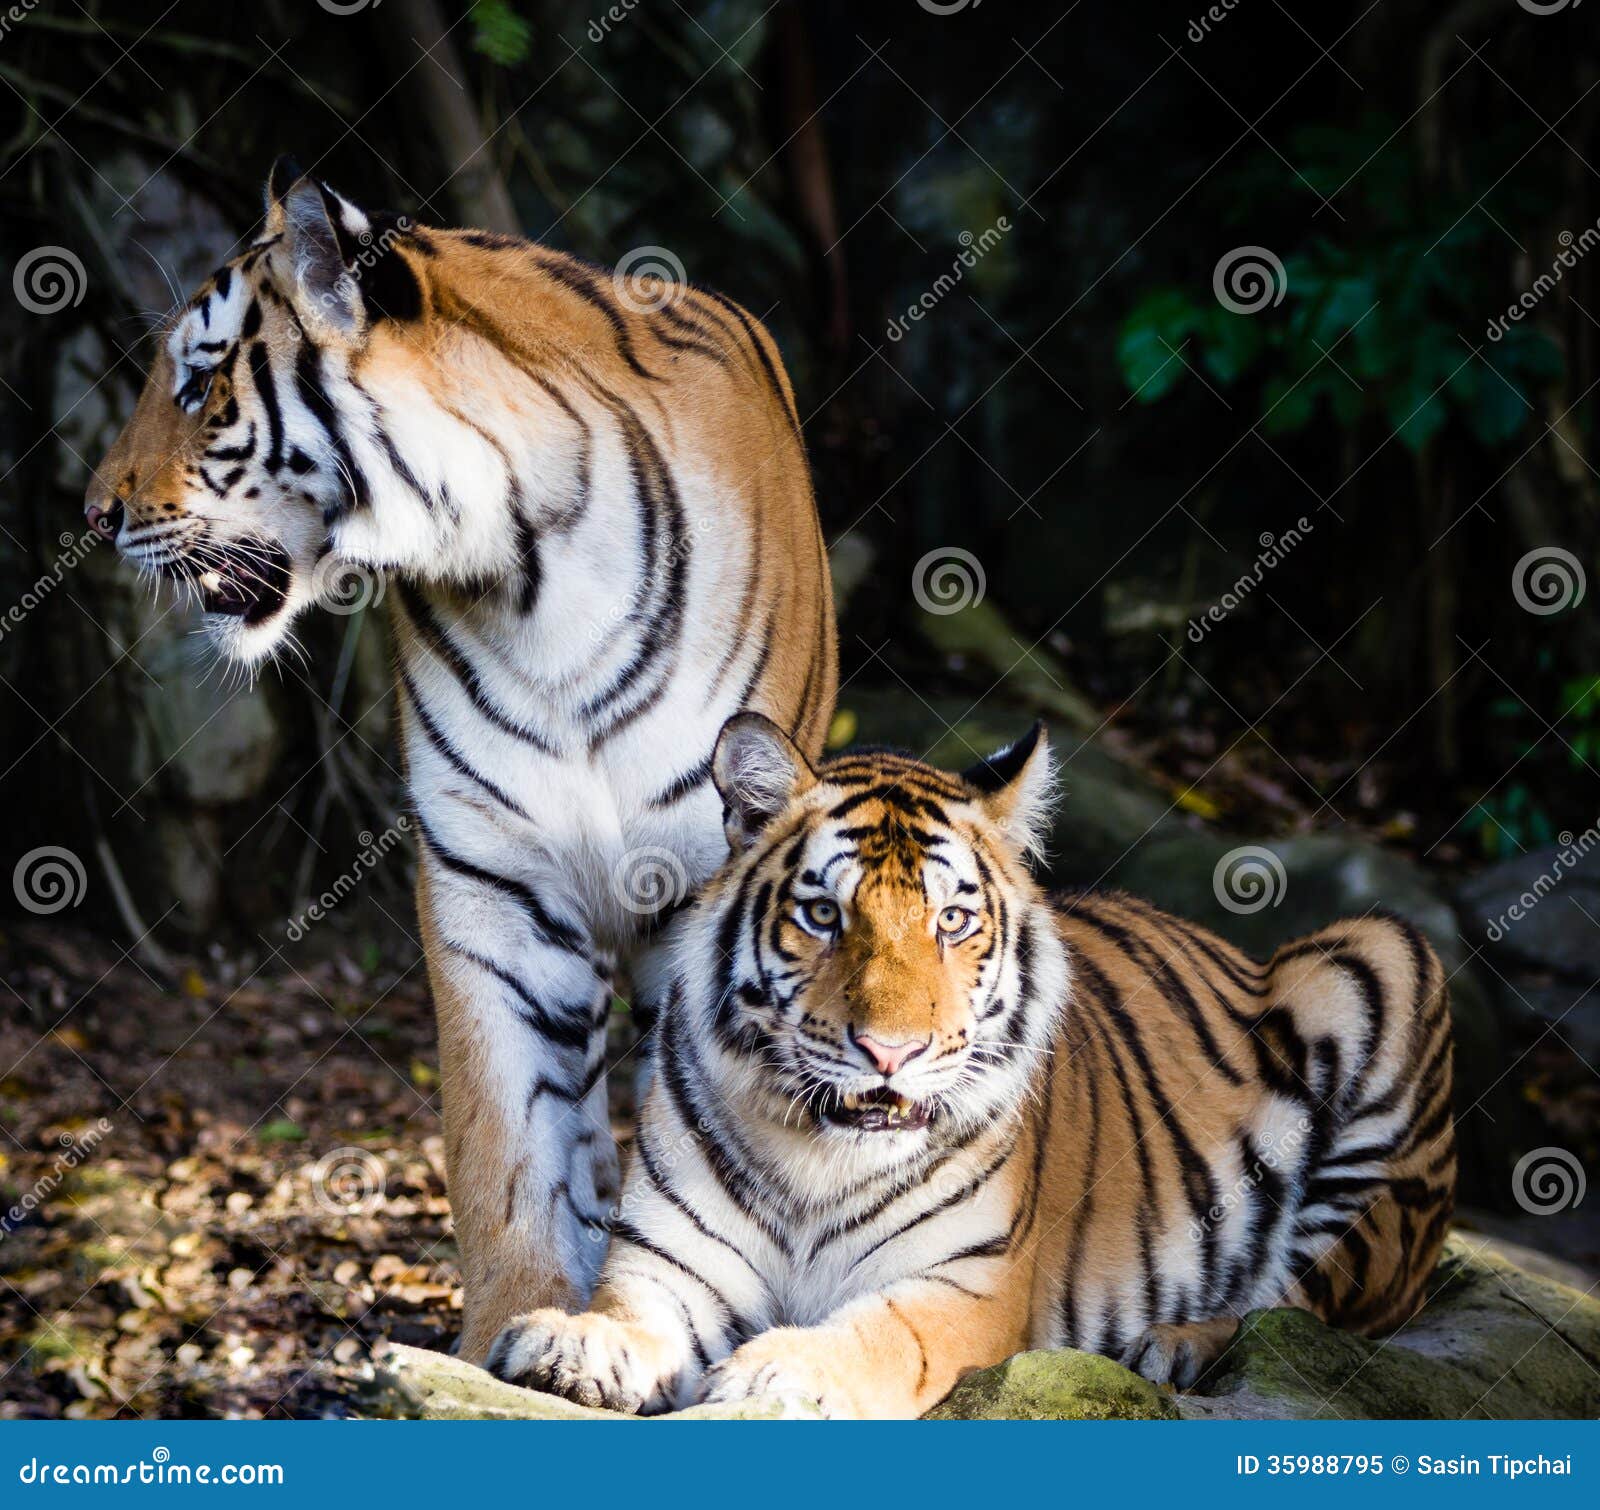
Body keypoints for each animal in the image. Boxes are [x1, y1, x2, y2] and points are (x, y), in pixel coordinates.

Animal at [83, 159, 837, 1361]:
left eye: (199, 384)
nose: (95, 515)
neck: (532, 567)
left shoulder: (710, 888)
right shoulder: (494, 879)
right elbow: (507, 1136)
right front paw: (511, 1327)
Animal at [487, 715, 1457, 1418]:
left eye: (952, 920)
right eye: (823, 914)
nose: (890, 1051)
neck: (816, 1160)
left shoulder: (967, 1284)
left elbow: (875, 1335)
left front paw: (777, 1370)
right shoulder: (666, 1265)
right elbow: (624, 1312)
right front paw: (569, 1344)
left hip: (1381, 961)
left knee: (1302, 1304)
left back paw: (1178, 1343)